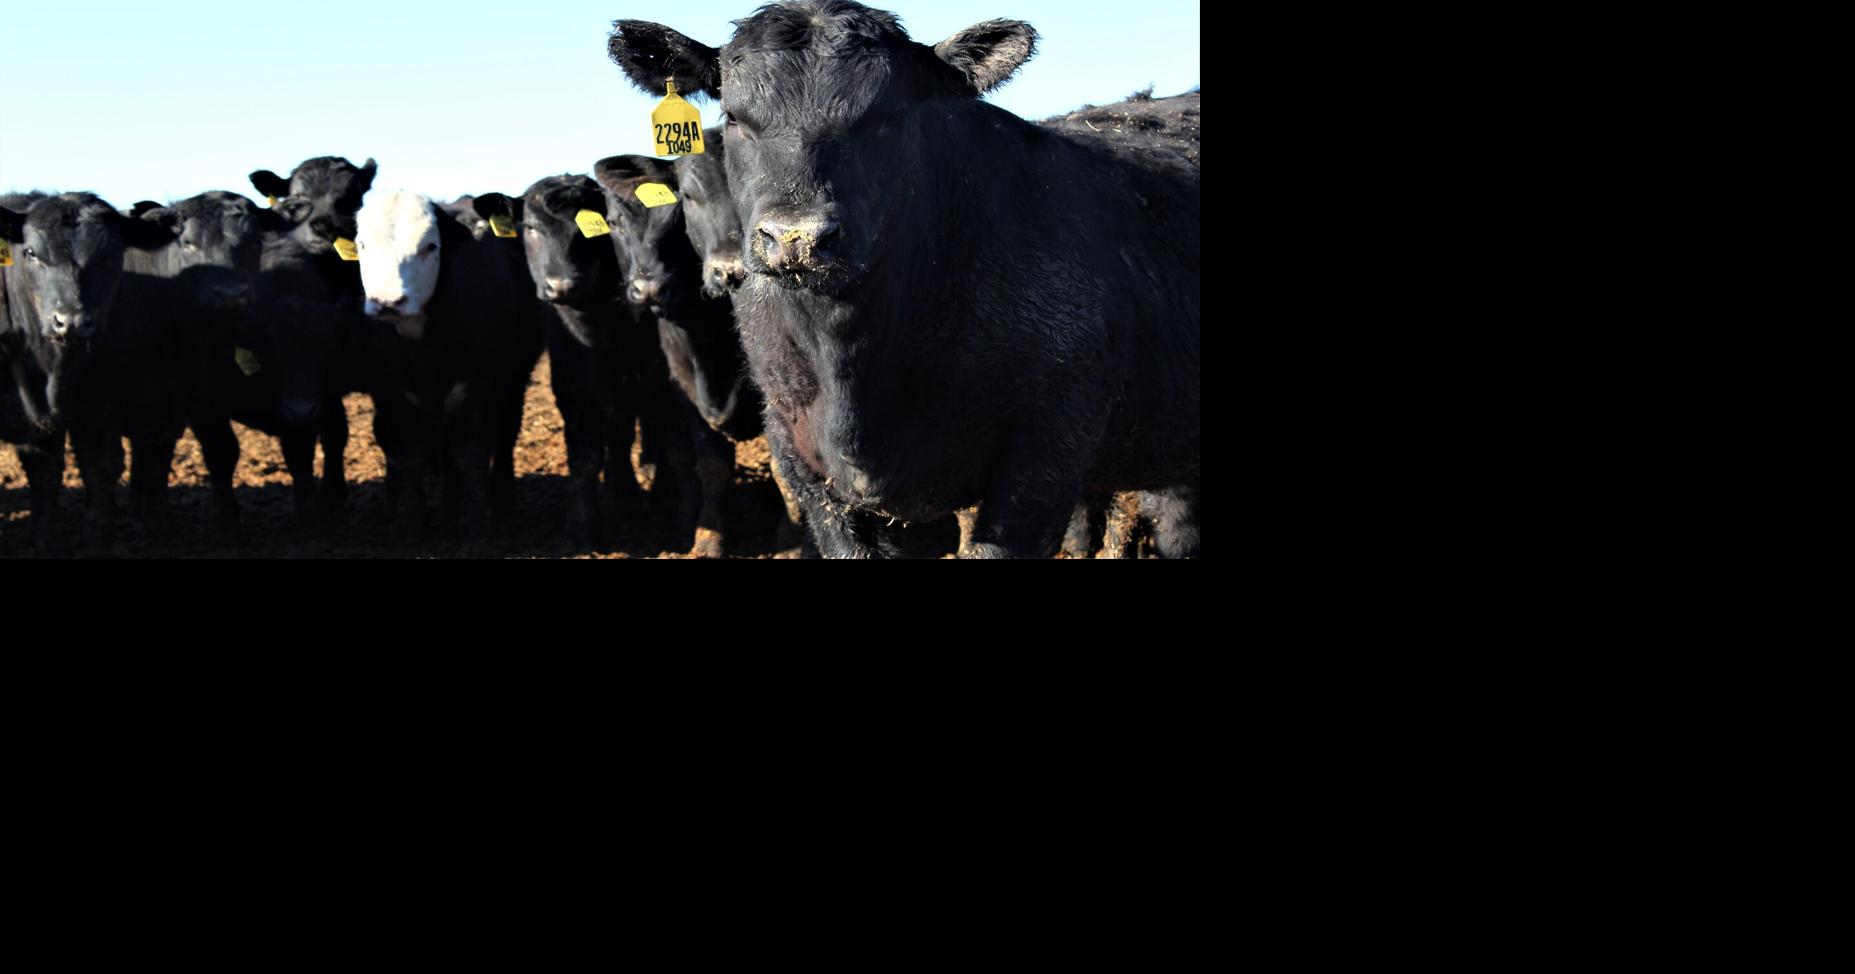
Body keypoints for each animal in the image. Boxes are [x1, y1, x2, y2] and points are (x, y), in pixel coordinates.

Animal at [0, 192, 175, 555]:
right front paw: (45, 542)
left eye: (112, 254)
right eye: (31, 252)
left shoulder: (99, 402)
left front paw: (95, 541)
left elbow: (98, 467)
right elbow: (43, 470)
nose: (72, 321)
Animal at [352, 189, 545, 543]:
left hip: (514, 380)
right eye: (362, 245)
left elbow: (471, 452)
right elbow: (410, 453)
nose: (387, 302)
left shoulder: (480, 384)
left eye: (431, 246)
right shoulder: (389, 390)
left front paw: (477, 524)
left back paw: (500, 500)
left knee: (504, 435)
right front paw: (408, 523)